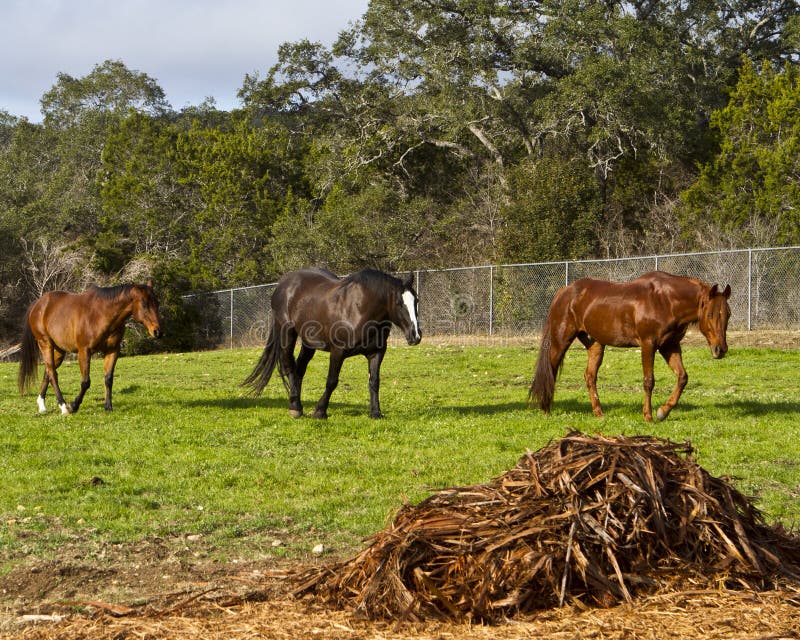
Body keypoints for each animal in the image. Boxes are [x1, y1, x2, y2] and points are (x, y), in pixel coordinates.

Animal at [18, 281, 162, 415]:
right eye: (144, 304)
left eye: (157, 303)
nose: (157, 332)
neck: (101, 314)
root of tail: (38, 304)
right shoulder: (84, 351)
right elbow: (85, 382)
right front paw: (74, 405)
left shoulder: (112, 351)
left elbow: (108, 379)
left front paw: (108, 407)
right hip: (45, 343)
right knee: (52, 374)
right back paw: (63, 406)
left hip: (59, 350)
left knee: (48, 371)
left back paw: (42, 405)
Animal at [243, 268, 422, 419]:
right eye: (399, 303)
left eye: (416, 301)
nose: (416, 335)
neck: (359, 310)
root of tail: (283, 285)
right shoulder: (338, 352)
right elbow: (332, 381)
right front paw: (320, 411)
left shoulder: (376, 353)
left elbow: (374, 382)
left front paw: (376, 413)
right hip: (287, 333)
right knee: (289, 366)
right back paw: (295, 407)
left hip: (309, 343)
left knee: (299, 369)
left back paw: (297, 404)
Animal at [530, 271, 731, 422]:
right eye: (710, 314)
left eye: (727, 314)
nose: (720, 349)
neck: (666, 300)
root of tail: (564, 291)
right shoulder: (648, 344)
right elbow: (649, 381)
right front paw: (648, 415)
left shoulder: (670, 345)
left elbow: (682, 378)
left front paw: (663, 411)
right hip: (561, 340)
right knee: (551, 370)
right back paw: (546, 409)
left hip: (595, 344)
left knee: (590, 376)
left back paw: (598, 412)